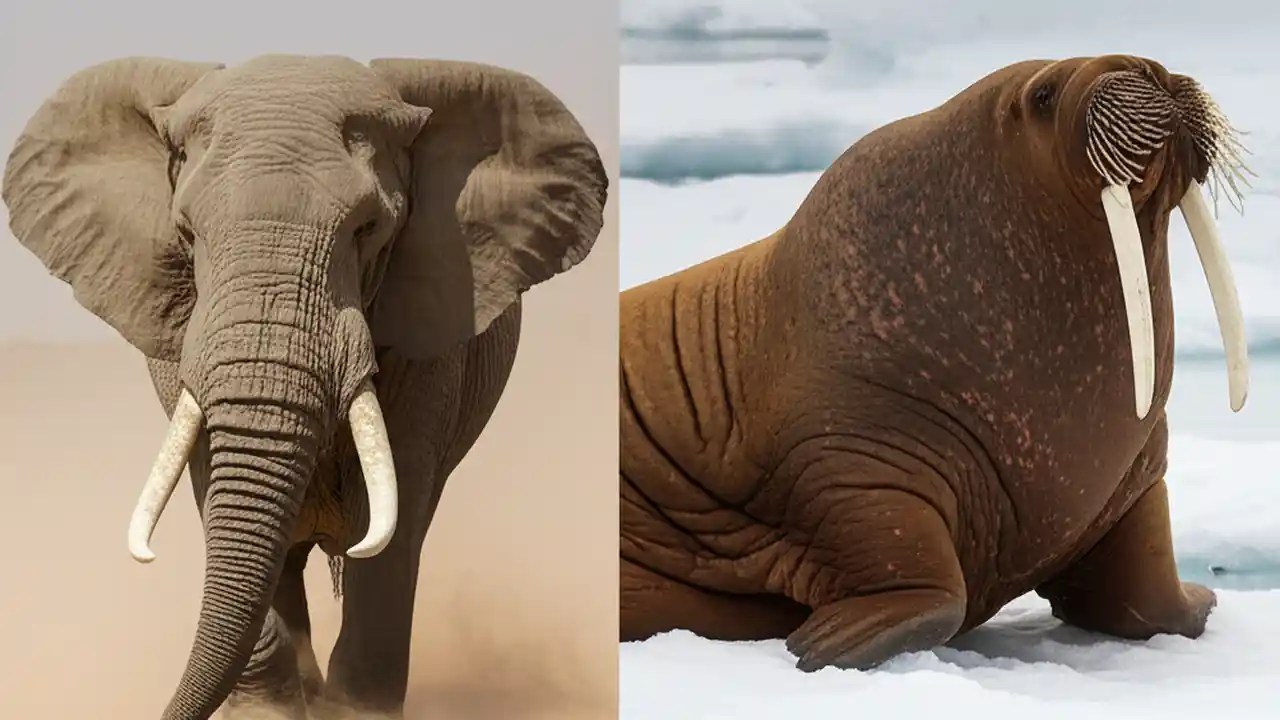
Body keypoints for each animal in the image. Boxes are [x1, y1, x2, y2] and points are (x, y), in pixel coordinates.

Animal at [3, 54, 606, 719]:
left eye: (368, 229)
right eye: (186, 232)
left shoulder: (432, 328)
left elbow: (392, 526)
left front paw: (354, 710)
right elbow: (218, 493)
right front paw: (268, 710)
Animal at [619, 55, 1250, 671]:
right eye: (1044, 94)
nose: (1150, 70)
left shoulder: (1136, 473)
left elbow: (1145, 589)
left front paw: (1199, 599)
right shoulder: (853, 447)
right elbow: (919, 577)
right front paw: (823, 644)